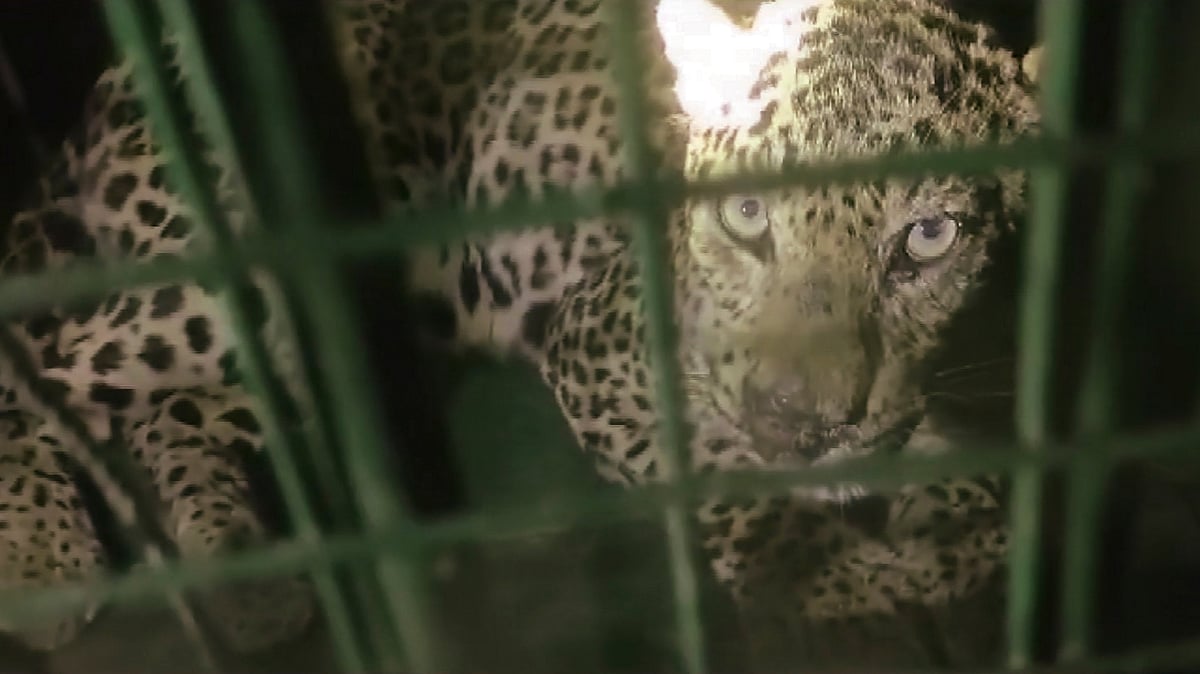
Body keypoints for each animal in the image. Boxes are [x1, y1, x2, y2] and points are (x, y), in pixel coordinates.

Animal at [0, 0, 1040, 668]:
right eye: (745, 214)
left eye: (931, 236)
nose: (801, 418)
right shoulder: (594, 344)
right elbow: (720, 476)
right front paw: (820, 575)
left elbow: (985, 500)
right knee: (41, 358)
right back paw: (44, 568)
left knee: (162, 409)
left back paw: (245, 578)